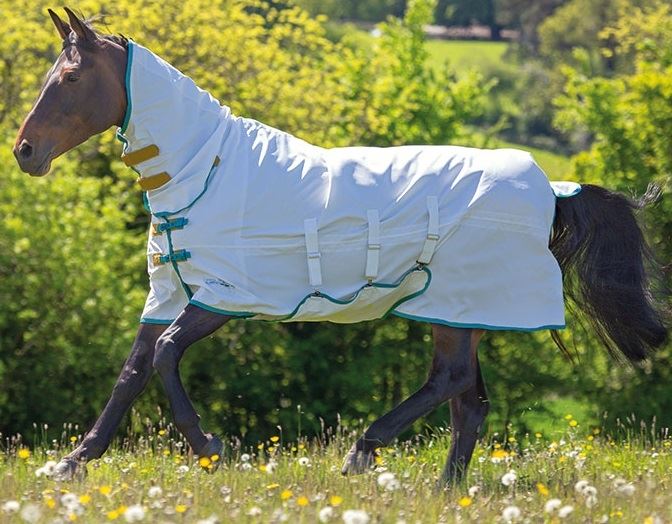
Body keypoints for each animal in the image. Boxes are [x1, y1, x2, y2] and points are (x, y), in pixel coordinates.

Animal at [13, 8, 669, 485]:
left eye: (70, 78)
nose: (25, 152)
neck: (209, 168)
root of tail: (552, 189)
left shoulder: (225, 295)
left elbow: (167, 356)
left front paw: (212, 448)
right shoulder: (170, 291)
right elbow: (133, 370)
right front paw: (71, 463)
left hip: (457, 306)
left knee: (452, 382)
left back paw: (364, 451)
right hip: (460, 311)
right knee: (468, 400)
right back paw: (443, 489)